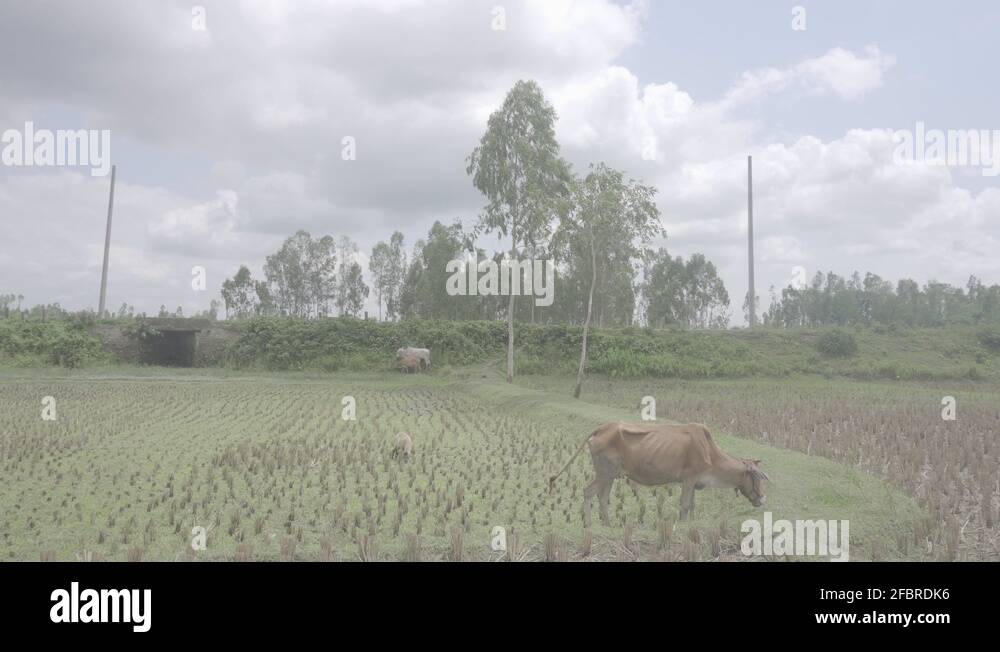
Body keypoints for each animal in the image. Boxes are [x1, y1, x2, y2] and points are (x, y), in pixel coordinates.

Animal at [548, 422, 769, 526]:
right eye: (757, 477)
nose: (762, 499)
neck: (710, 452)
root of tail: (602, 428)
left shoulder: (693, 482)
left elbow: (692, 505)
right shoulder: (689, 479)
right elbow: (685, 505)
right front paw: (683, 524)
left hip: (610, 476)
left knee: (601, 497)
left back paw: (607, 525)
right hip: (605, 473)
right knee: (588, 492)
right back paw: (589, 524)